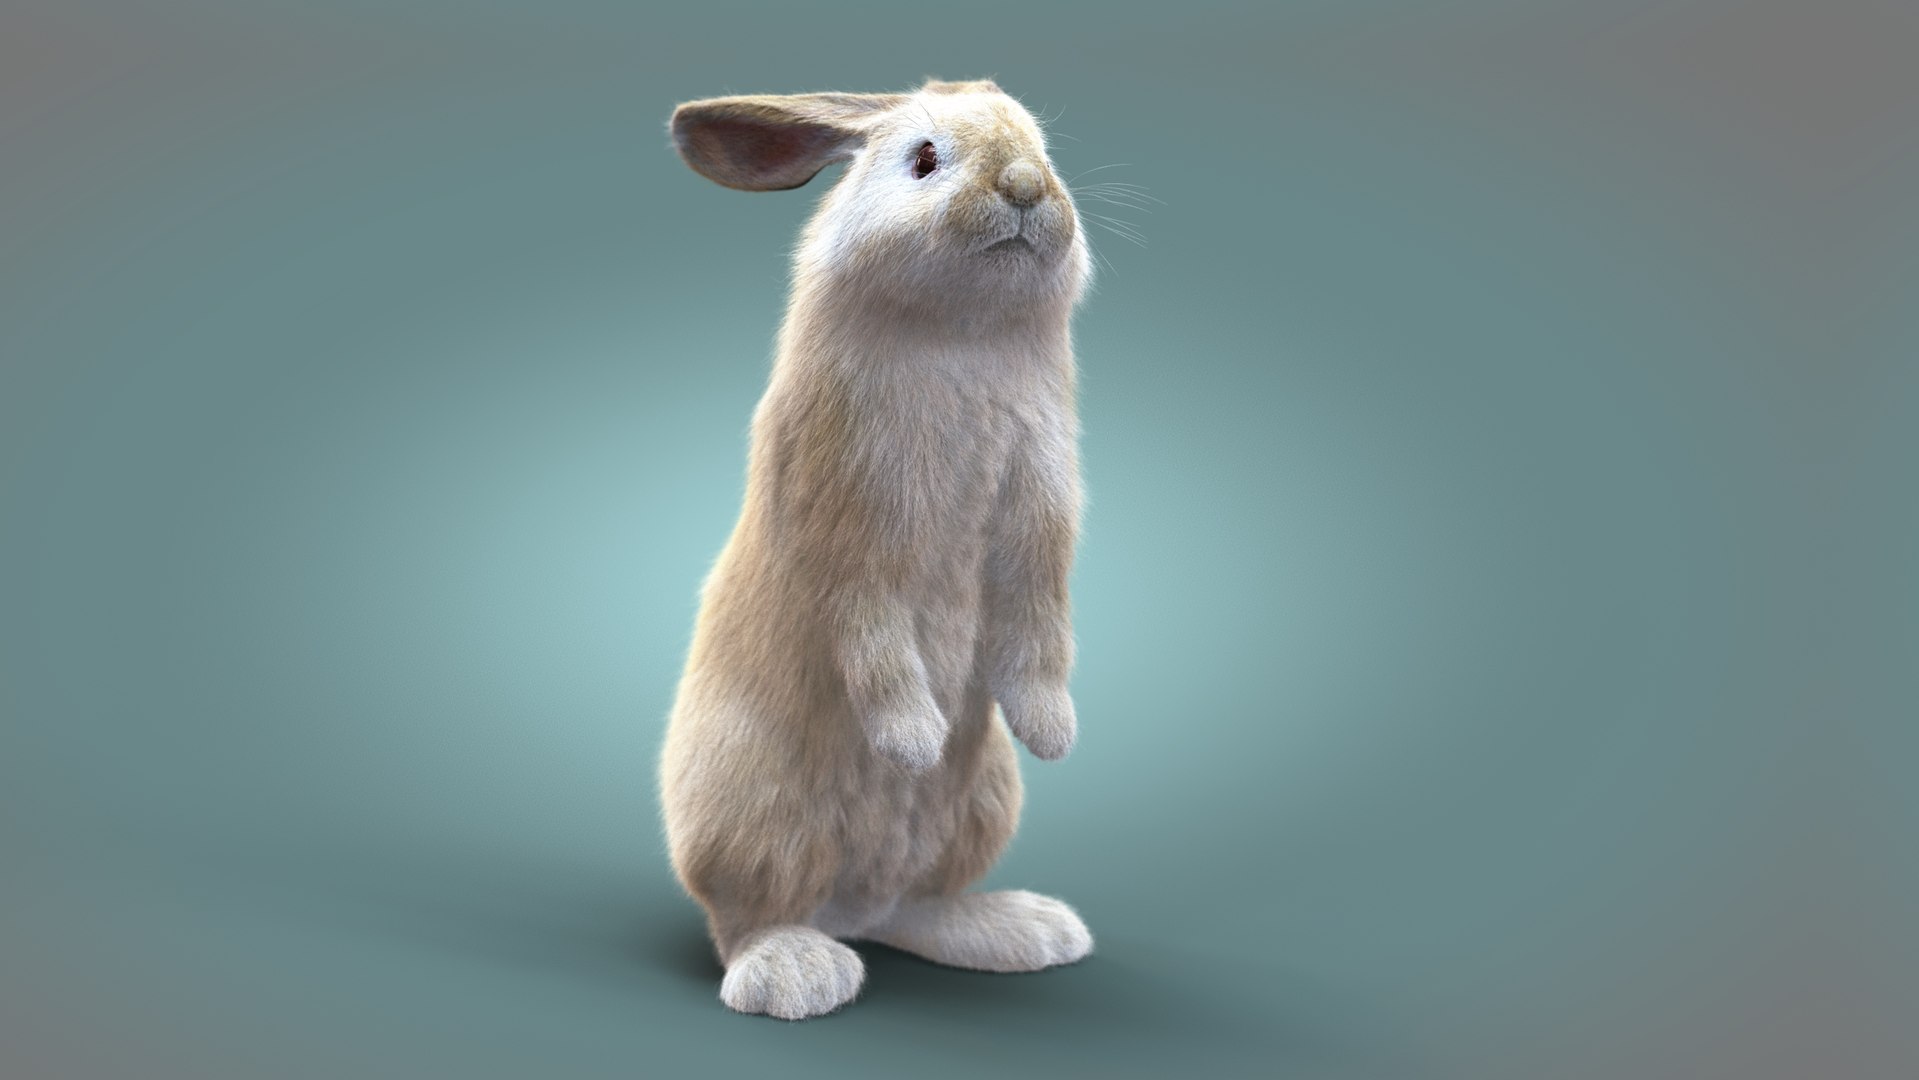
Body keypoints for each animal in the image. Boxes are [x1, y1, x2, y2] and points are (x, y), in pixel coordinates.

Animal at [658, 78, 1095, 1020]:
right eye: (923, 158)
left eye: (1043, 148)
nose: (1023, 186)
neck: (960, 337)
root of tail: (848, 907)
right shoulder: (848, 531)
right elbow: (874, 638)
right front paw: (913, 742)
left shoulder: (1038, 525)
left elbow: (1041, 630)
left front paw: (1052, 734)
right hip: (752, 814)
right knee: (745, 922)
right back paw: (797, 972)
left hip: (981, 806)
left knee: (914, 905)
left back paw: (1026, 930)